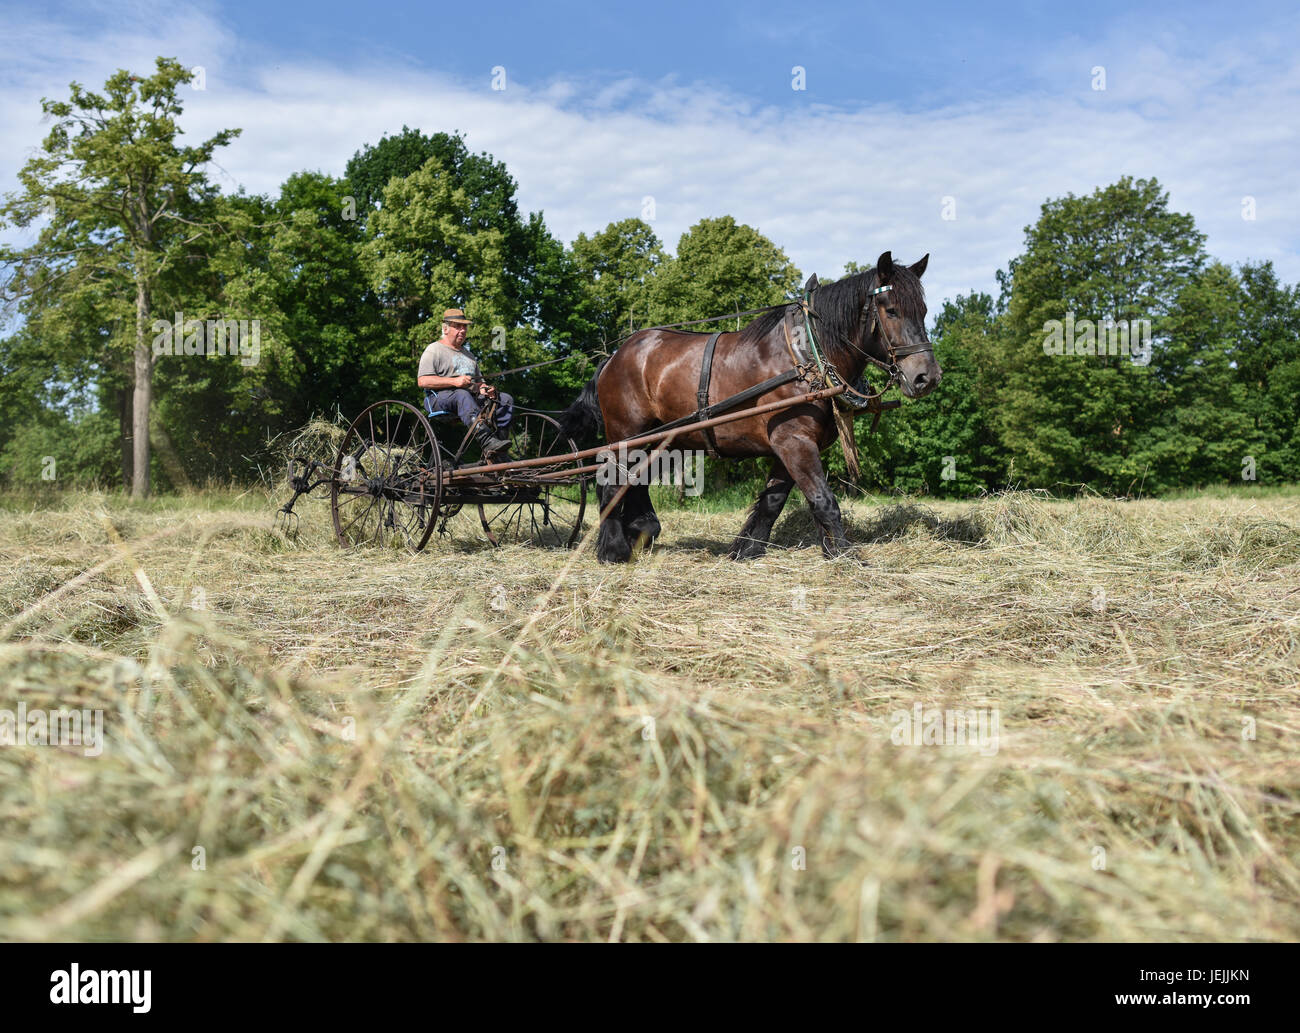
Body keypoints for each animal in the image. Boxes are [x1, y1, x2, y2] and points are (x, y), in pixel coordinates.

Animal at [558, 251, 941, 563]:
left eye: (923, 311)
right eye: (891, 310)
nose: (927, 377)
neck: (808, 354)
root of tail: (614, 357)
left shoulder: (790, 447)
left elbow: (773, 502)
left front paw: (748, 549)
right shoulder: (793, 441)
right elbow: (824, 499)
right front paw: (848, 557)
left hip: (654, 439)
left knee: (634, 482)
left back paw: (642, 531)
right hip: (626, 433)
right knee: (611, 484)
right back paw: (613, 550)